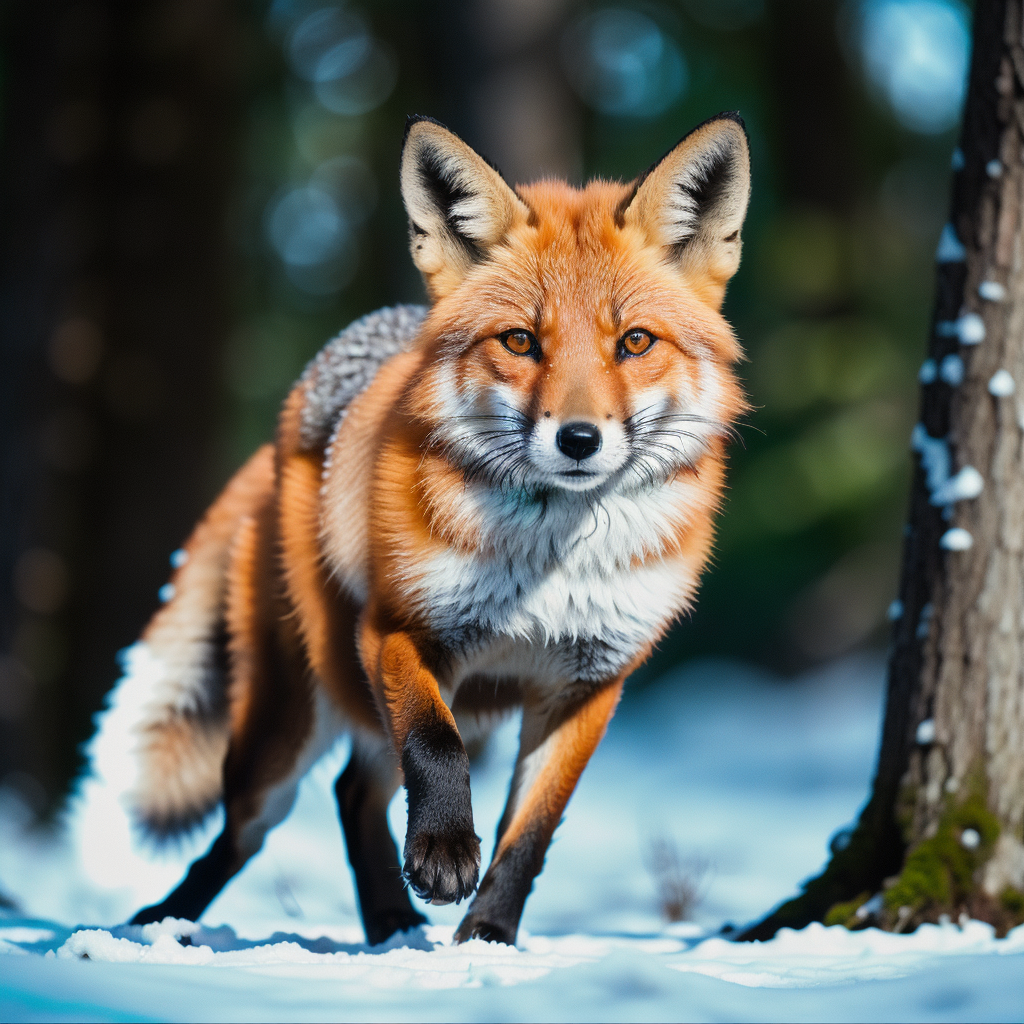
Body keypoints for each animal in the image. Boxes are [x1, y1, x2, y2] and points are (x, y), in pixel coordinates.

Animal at [96, 112, 750, 947]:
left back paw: (389, 925)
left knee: (353, 791)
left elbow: (532, 831)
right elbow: (434, 747)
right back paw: (161, 922)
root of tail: (293, 412)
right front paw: (442, 852)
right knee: (247, 825)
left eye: (634, 342)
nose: (578, 440)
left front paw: (489, 937)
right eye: (520, 341)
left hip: (417, 704)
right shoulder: (400, 631)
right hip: (300, 715)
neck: (548, 564)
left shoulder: (590, 681)